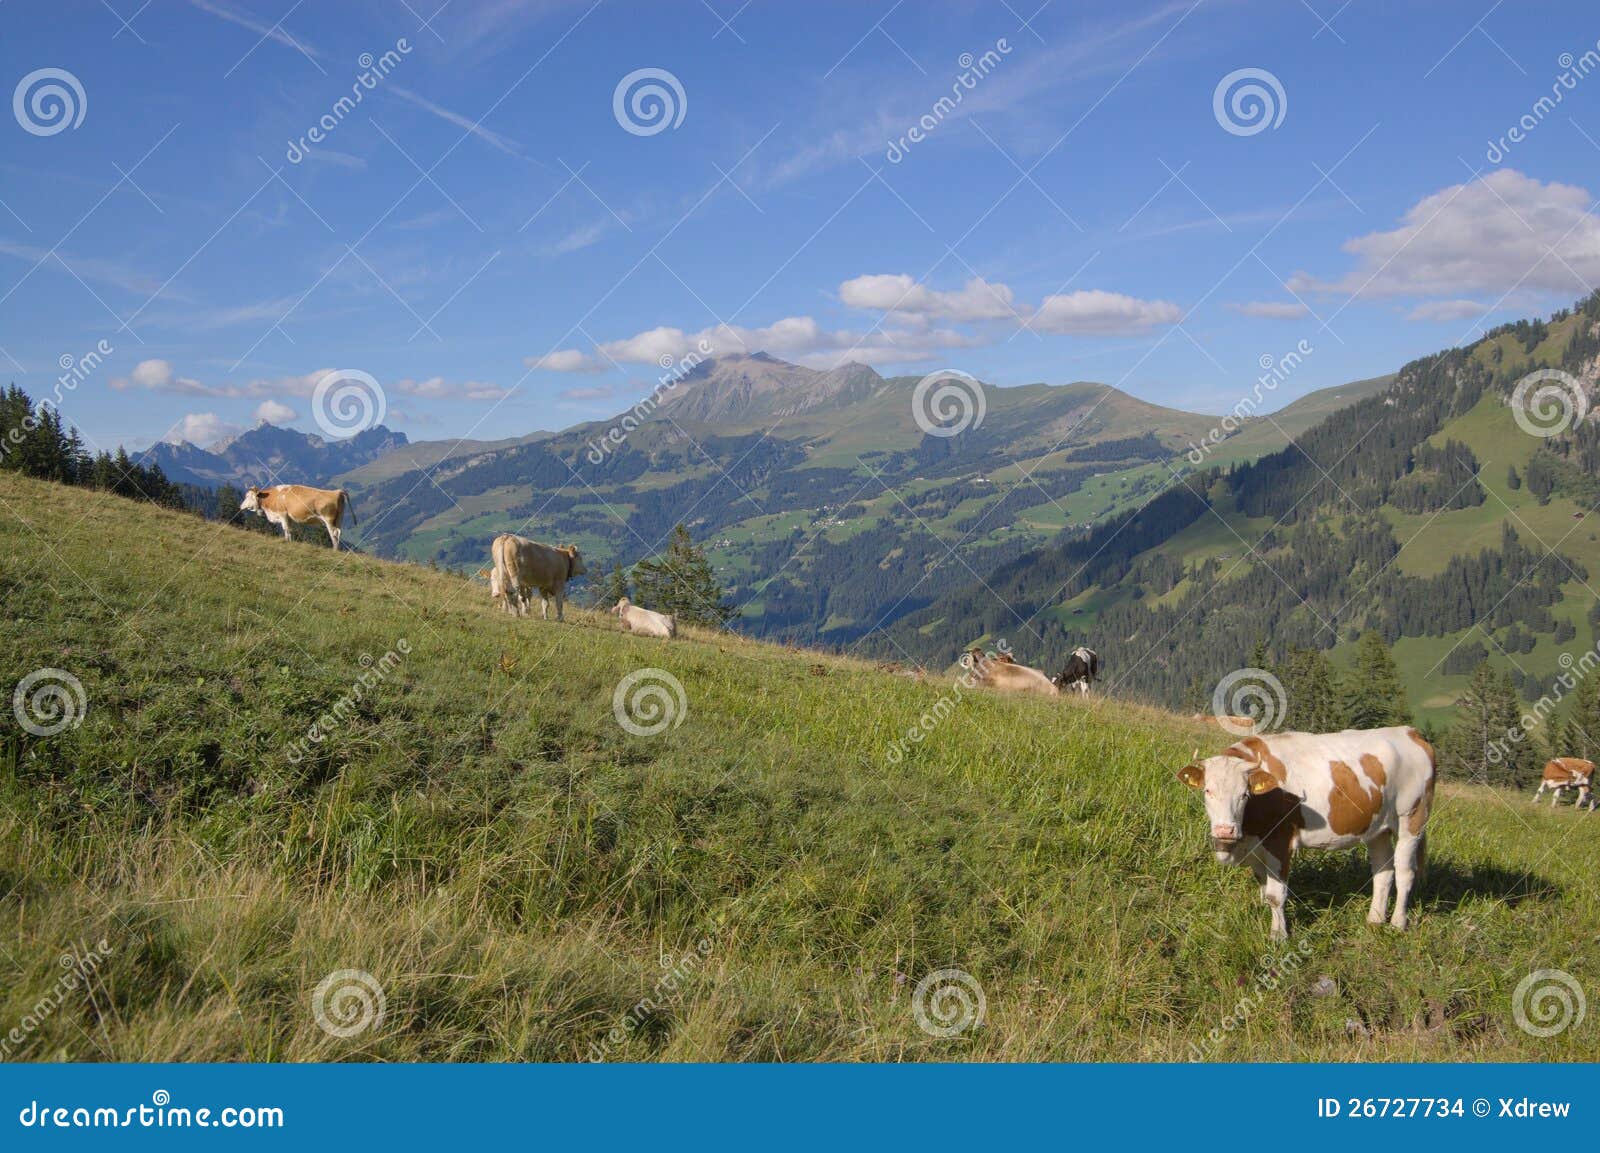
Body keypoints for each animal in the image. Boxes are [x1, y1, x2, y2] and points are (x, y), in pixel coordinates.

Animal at [1177, 727, 1436, 940]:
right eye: (1208, 791)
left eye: (1244, 794)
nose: (1225, 830)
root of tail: (1411, 732)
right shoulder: (1256, 846)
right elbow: (1263, 886)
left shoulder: (1279, 842)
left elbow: (1275, 894)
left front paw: (1278, 935)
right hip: (1378, 830)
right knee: (1383, 872)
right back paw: (1374, 920)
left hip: (1412, 820)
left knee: (1405, 873)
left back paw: (1397, 923)